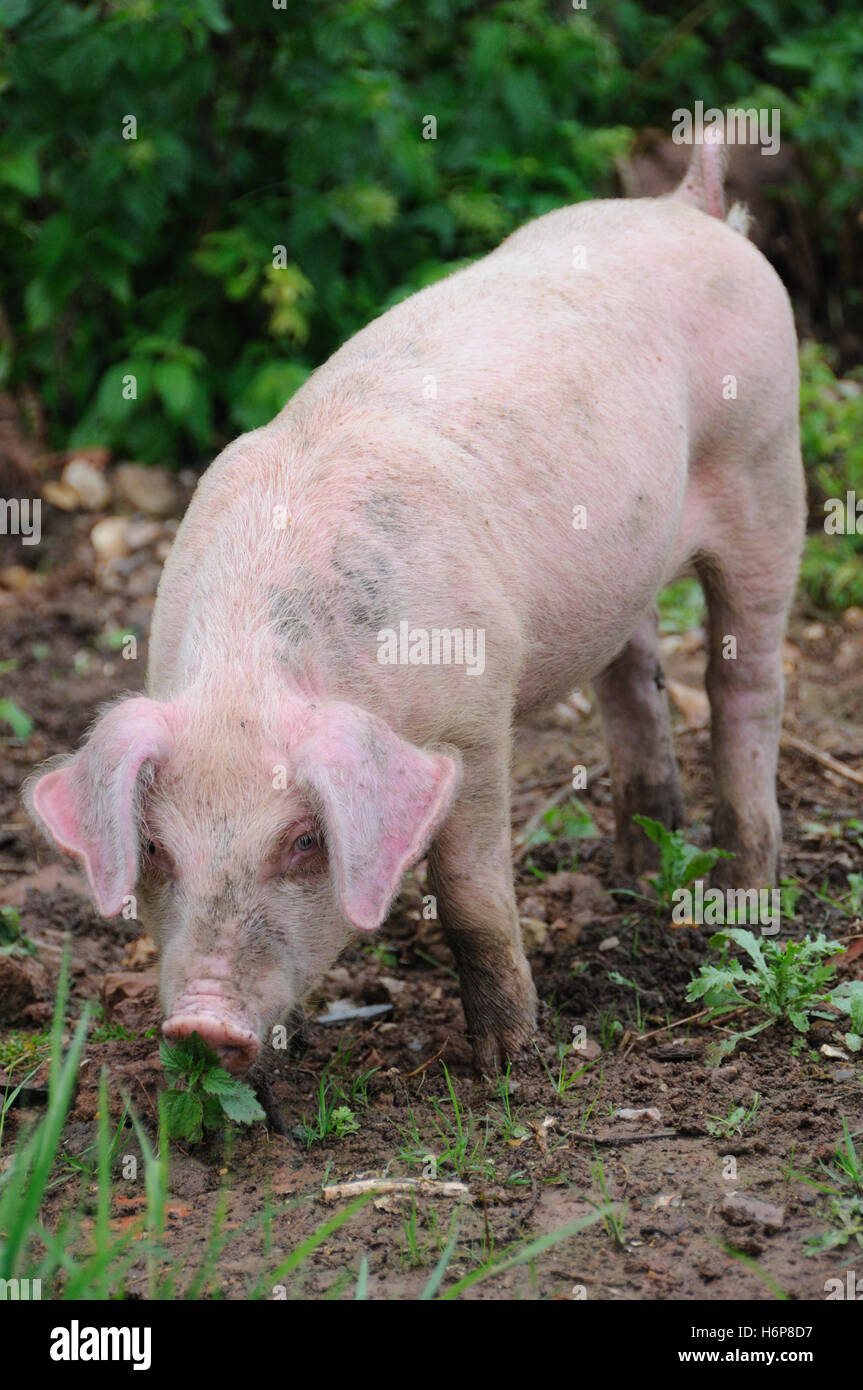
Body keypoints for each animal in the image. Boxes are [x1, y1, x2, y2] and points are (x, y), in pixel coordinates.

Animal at [26, 140, 805, 1081]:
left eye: (303, 841)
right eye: (154, 849)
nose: (205, 1027)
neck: (259, 667)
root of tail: (687, 204)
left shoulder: (475, 718)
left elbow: (468, 893)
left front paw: (506, 1061)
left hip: (769, 467)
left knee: (748, 683)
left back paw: (739, 904)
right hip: (624, 563)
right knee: (631, 681)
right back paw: (628, 873)